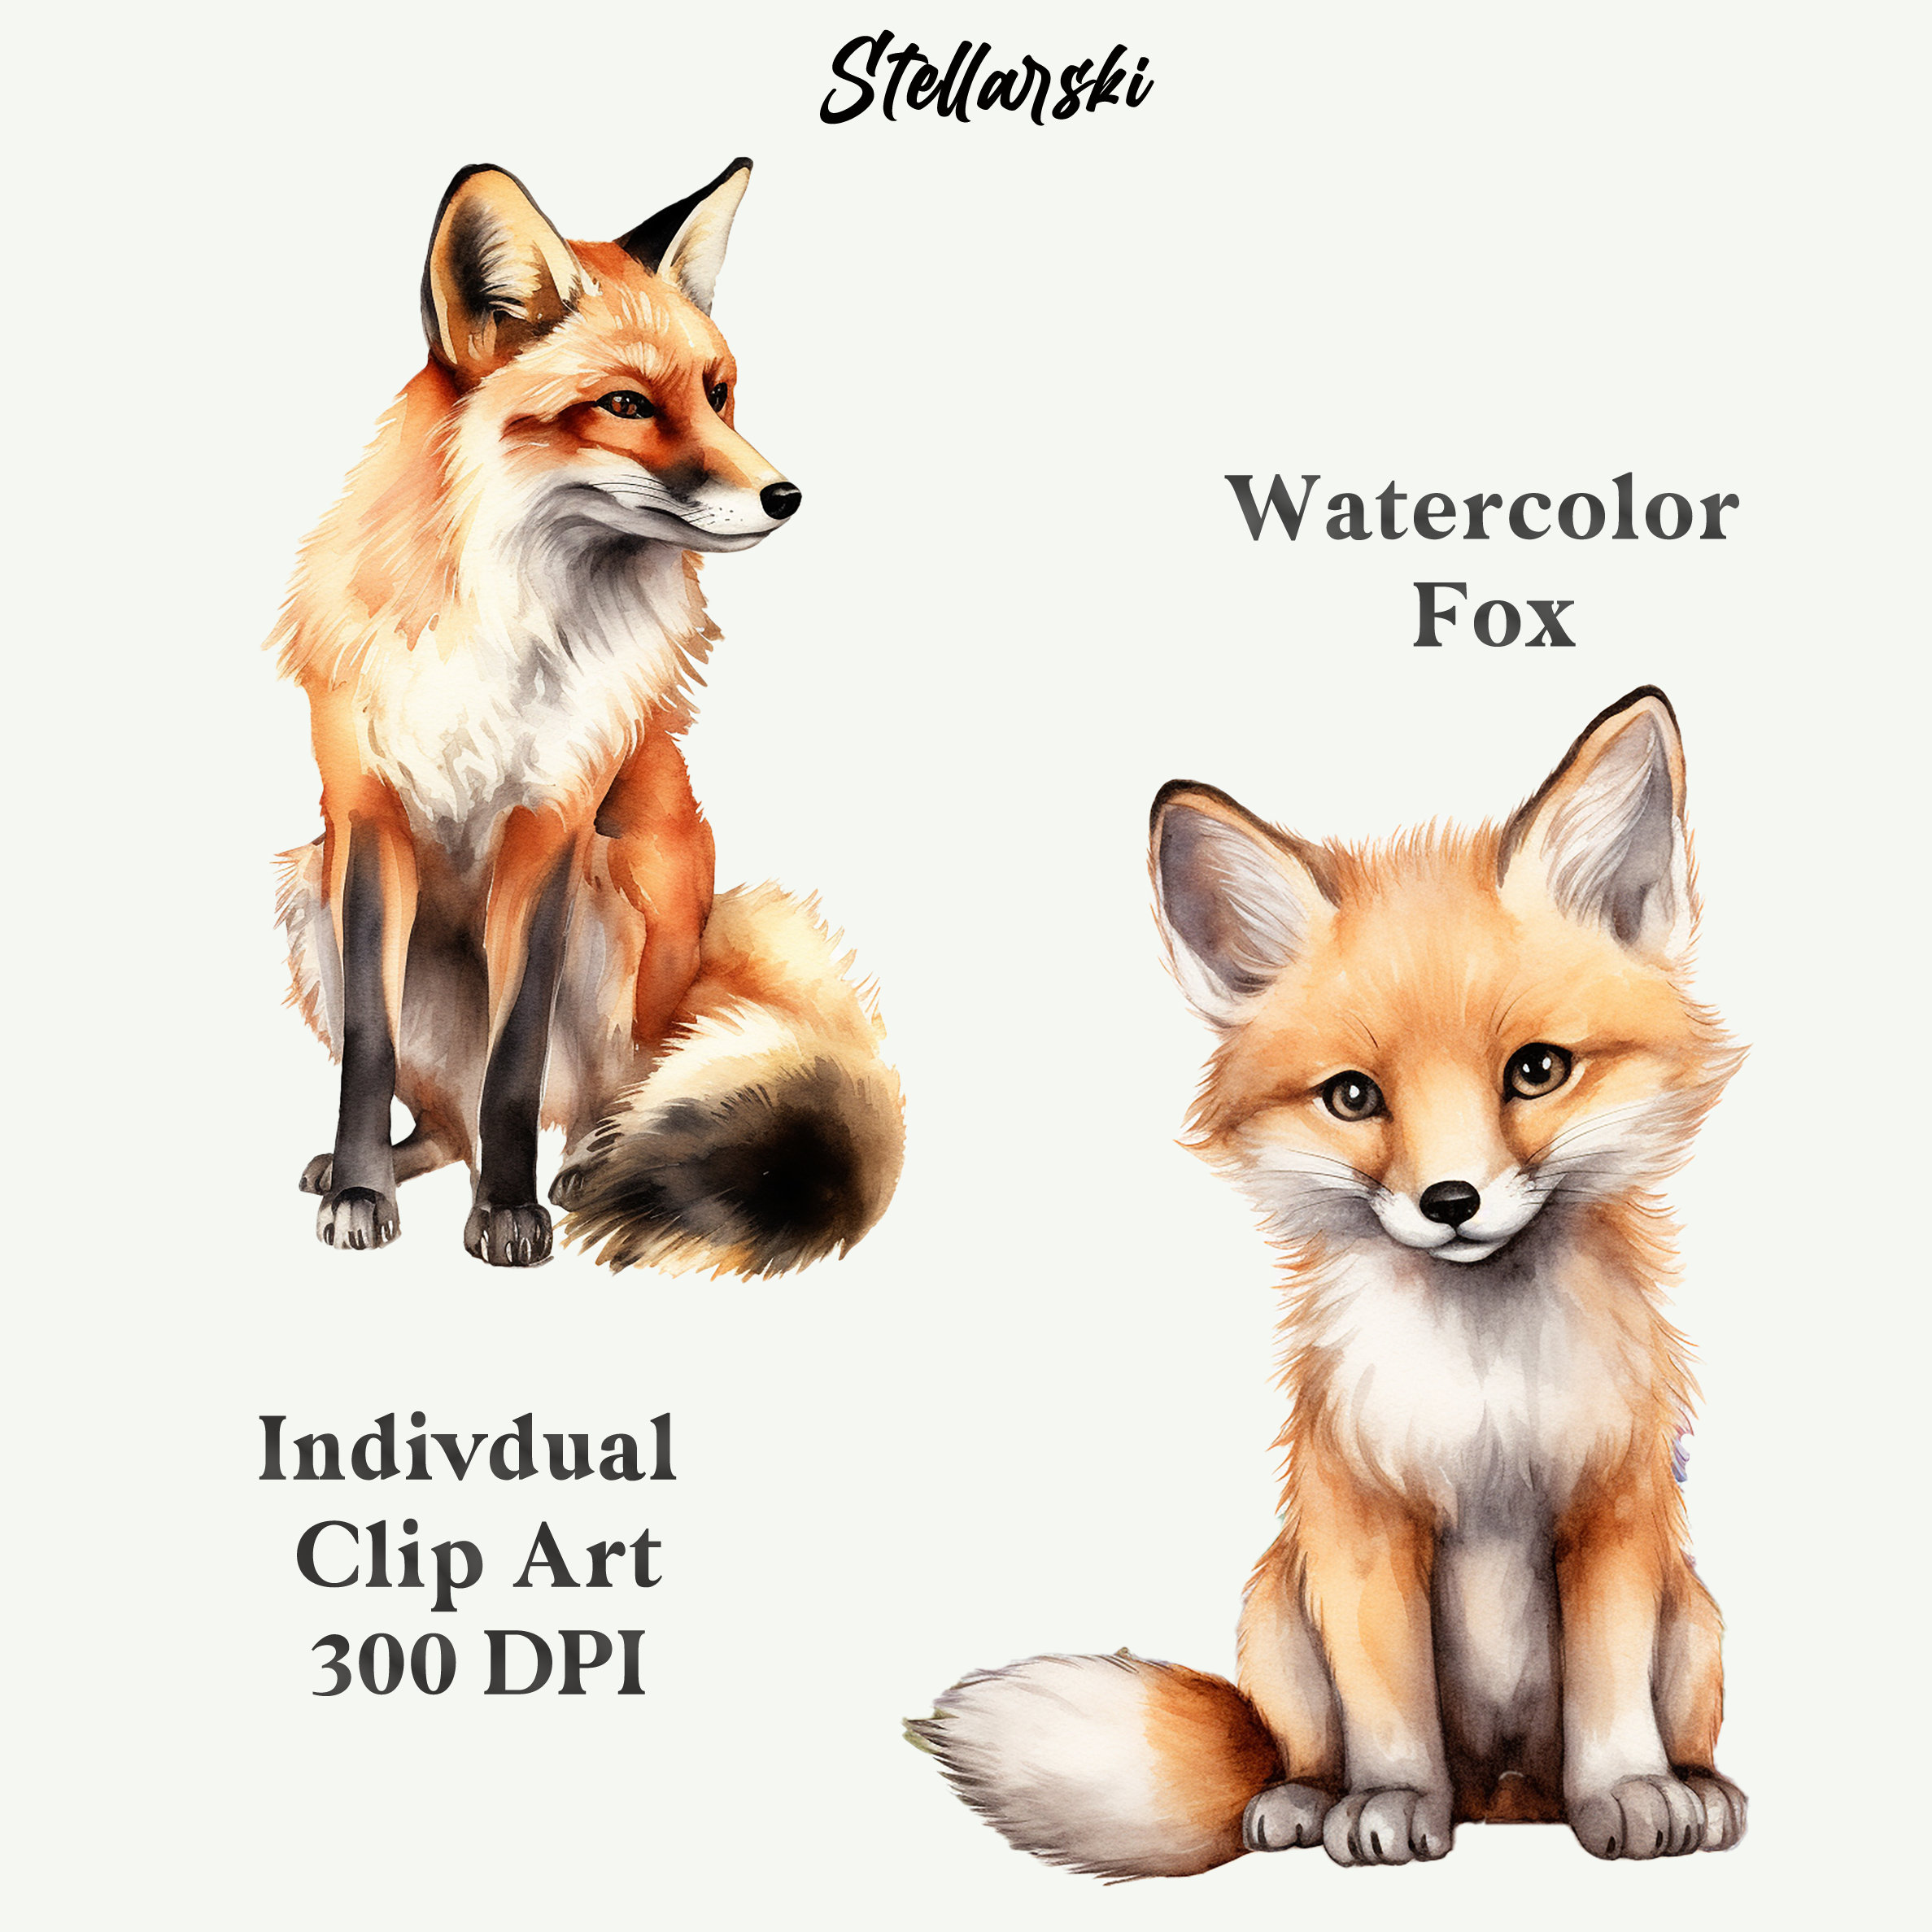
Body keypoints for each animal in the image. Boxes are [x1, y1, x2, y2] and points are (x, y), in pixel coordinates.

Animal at [271, 160, 904, 1272]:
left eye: (718, 391)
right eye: (624, 405)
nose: (785, 494)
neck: (500, 627)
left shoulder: (554, 826)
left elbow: (516, 1059)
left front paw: (508, 1211)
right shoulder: (365, 819)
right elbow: (369, 1048)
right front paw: (359, 1189)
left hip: (622, 899)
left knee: (607, 1087)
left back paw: (581, 1164)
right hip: (309, 885)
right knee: (447, 1116)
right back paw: (404, 1156)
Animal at [914, 689, 1747, 1871]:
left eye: (1534, 1069)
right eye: (1353, 1095)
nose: (1449, 1200)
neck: (1482, 1392)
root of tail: (1503, 1794)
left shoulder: (1611, 1505)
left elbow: (1606, 1693)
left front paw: (1630, 1789)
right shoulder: (1359, 1520)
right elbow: (1387, 1699)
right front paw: (1390, 1799)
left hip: (1694, 1620)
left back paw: (1692, 1786)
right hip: (1274, 1613)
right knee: (1304, 1746)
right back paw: (1309, 1798)